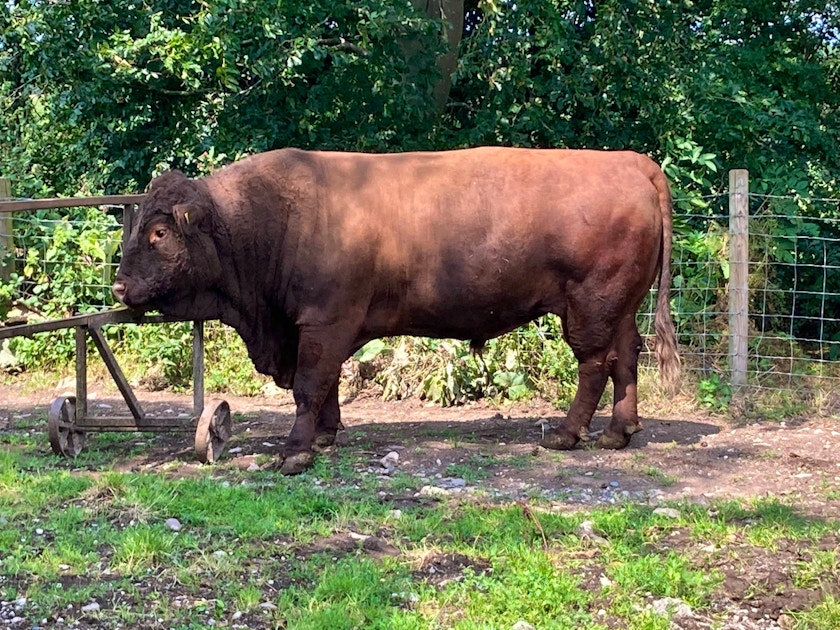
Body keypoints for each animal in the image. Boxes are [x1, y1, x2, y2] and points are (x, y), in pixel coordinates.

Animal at [113, 147, 680, 474]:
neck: (267, 216)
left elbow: (309, 384)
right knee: (626, 359)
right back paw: (617, 434)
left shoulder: (322, 322)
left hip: (588, 305)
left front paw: (296, 451)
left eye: (159, 232)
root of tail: (634, 162)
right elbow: (327, 384)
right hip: (621, 307)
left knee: (595, 364)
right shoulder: (317, 327)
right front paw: (326, 433)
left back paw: (566, 435)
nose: (119, 286)